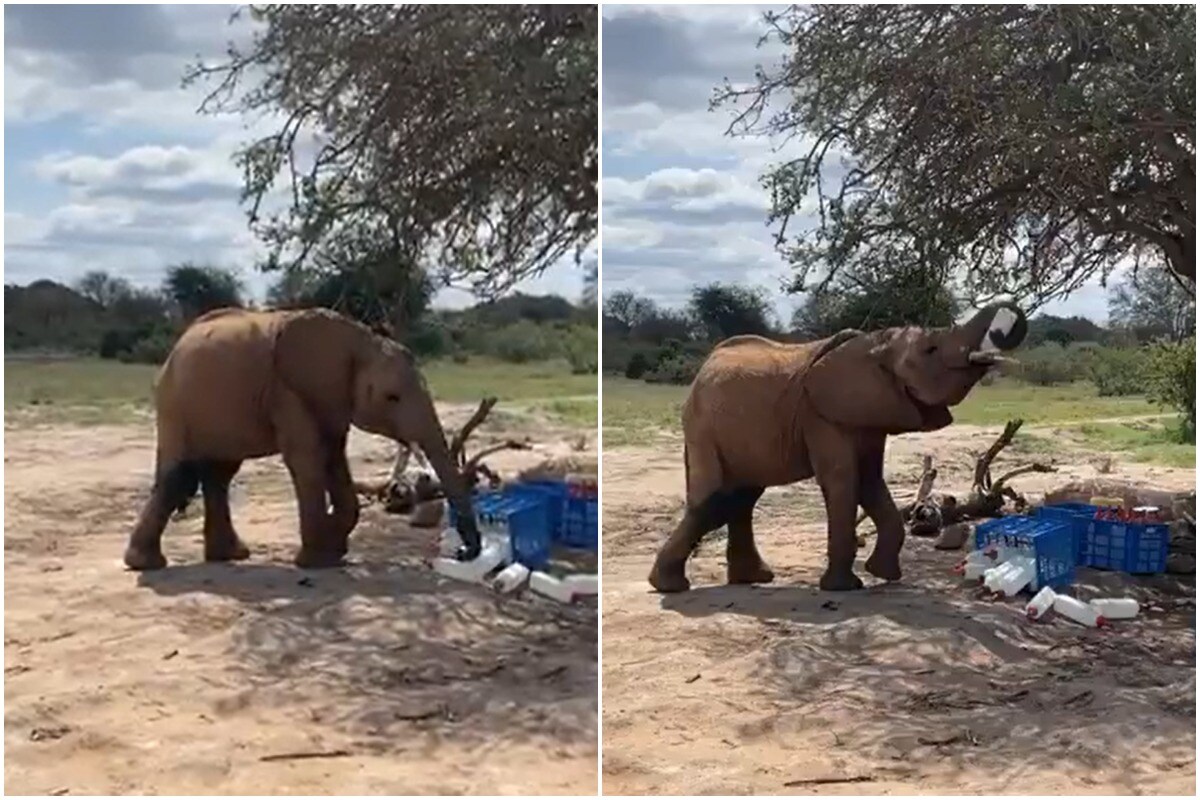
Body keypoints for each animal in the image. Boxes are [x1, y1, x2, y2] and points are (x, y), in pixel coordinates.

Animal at [122, 307, 481, 571]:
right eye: (391, 397)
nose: (464, 551)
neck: (356, 339)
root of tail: (175, 347)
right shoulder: (288, 391)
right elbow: (308, 458)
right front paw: (317, 560)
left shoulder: (331, 399)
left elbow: (334, 457)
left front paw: (335, 548)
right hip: (174, 403)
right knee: (178, 476)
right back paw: (146, 564)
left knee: (219, 475)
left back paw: (230, 556)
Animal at [647, 302, 1027, 593]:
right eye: (930, 350)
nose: (1005, 325)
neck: (875, 342)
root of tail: (703, 368)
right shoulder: (821, 416)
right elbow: (844, 480)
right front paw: (844, 588)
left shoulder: (869, 415)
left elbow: (871, 481)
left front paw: (883, 575)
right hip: (702, 428)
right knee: (713, 499)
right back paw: (670, 586)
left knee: (740, 499)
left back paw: (752, 579)